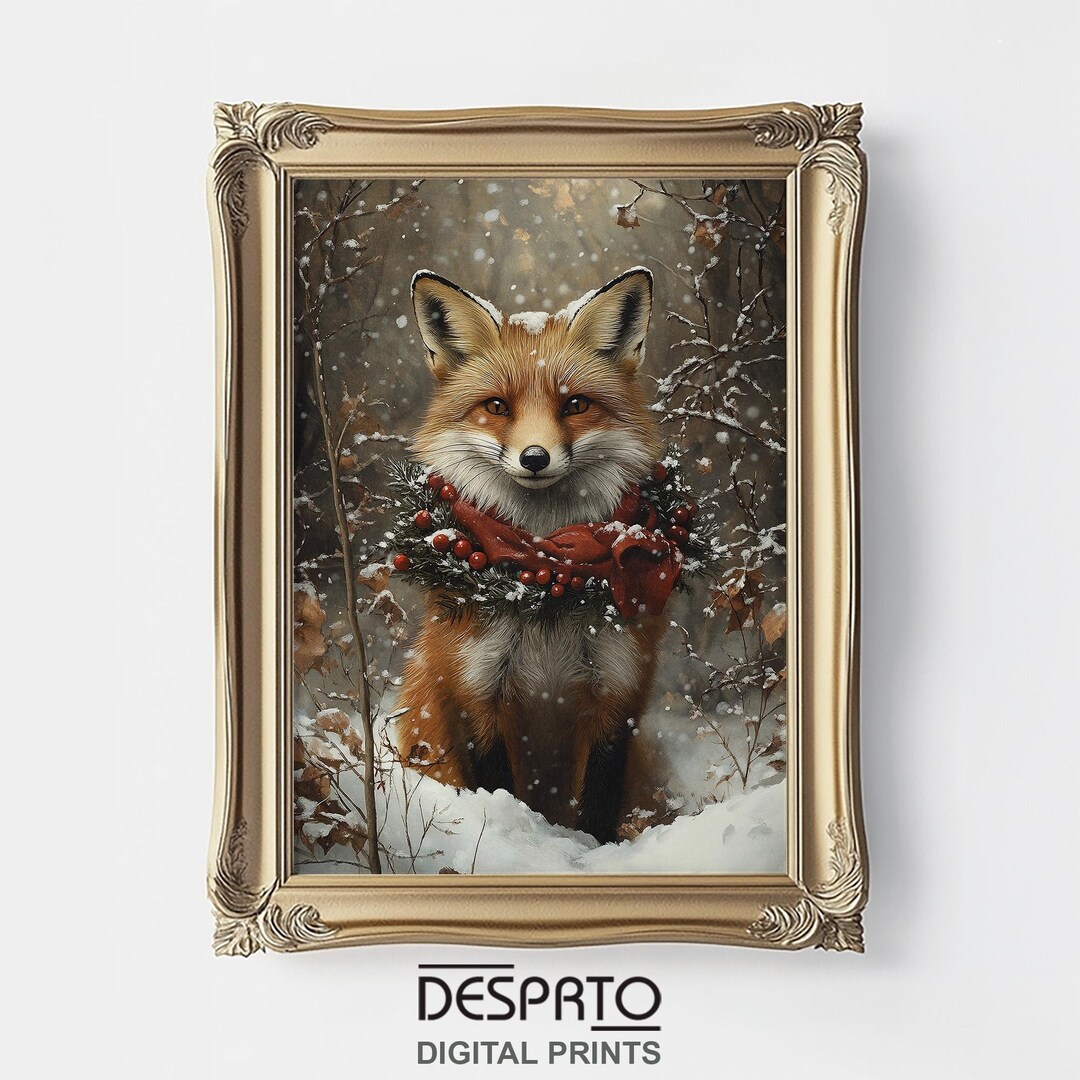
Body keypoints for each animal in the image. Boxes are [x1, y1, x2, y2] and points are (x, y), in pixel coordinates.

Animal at [396, 267, 669, 844]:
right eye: (497, 407)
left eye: (575, 405)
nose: (535, 457)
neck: (542, 576)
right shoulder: (474, 688)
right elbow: (497, 785)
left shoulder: (619, 691)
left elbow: (598, 801)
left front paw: (592, 851)